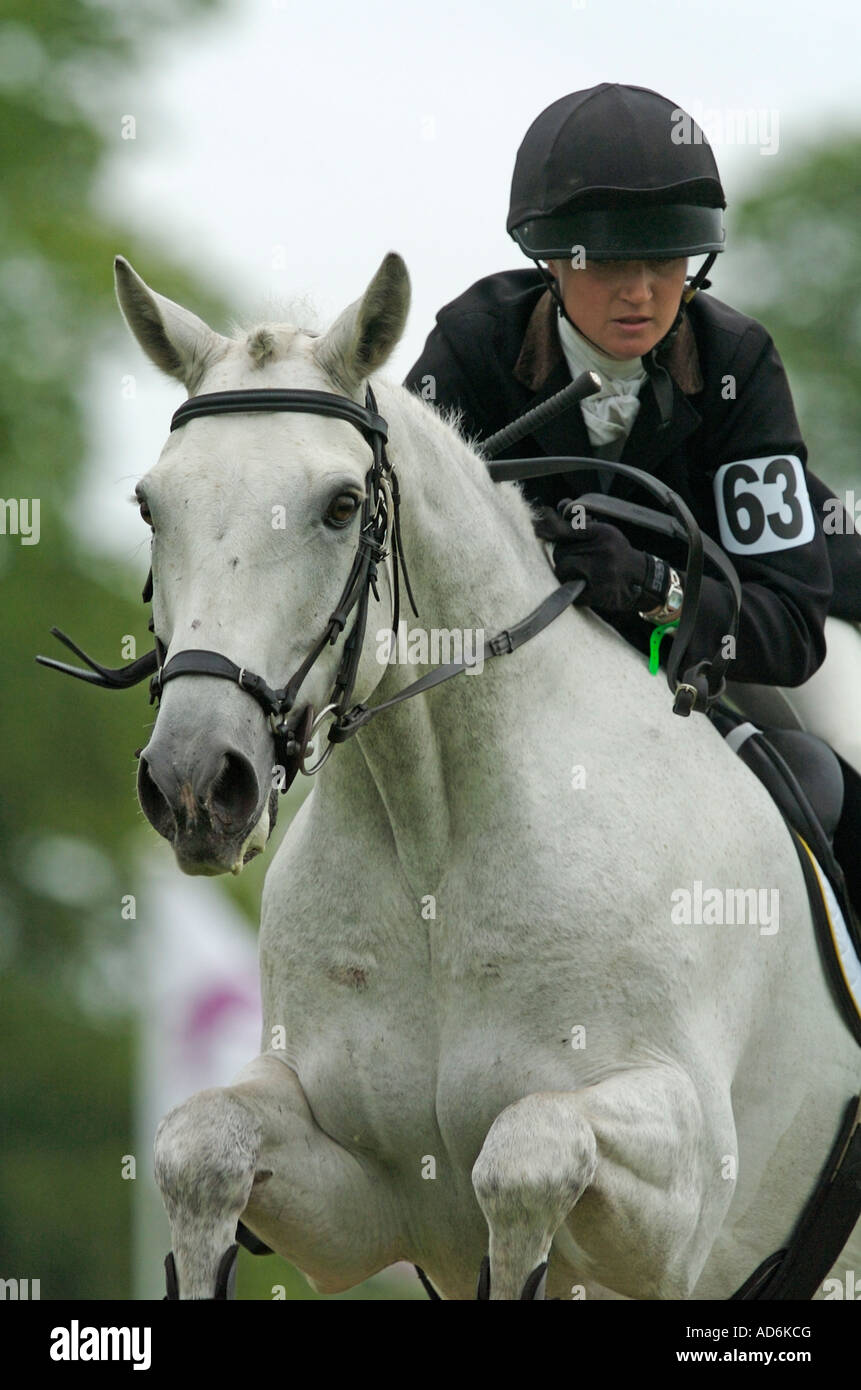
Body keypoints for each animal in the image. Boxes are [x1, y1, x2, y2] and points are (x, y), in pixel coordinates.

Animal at [112, 249, 859, 1300]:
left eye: (342, 506)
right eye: (151, 505)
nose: (192, 785)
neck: (435, 842)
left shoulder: (678, 1193)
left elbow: (523, 1155)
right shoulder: (362, 1198)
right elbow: (198, 1144)